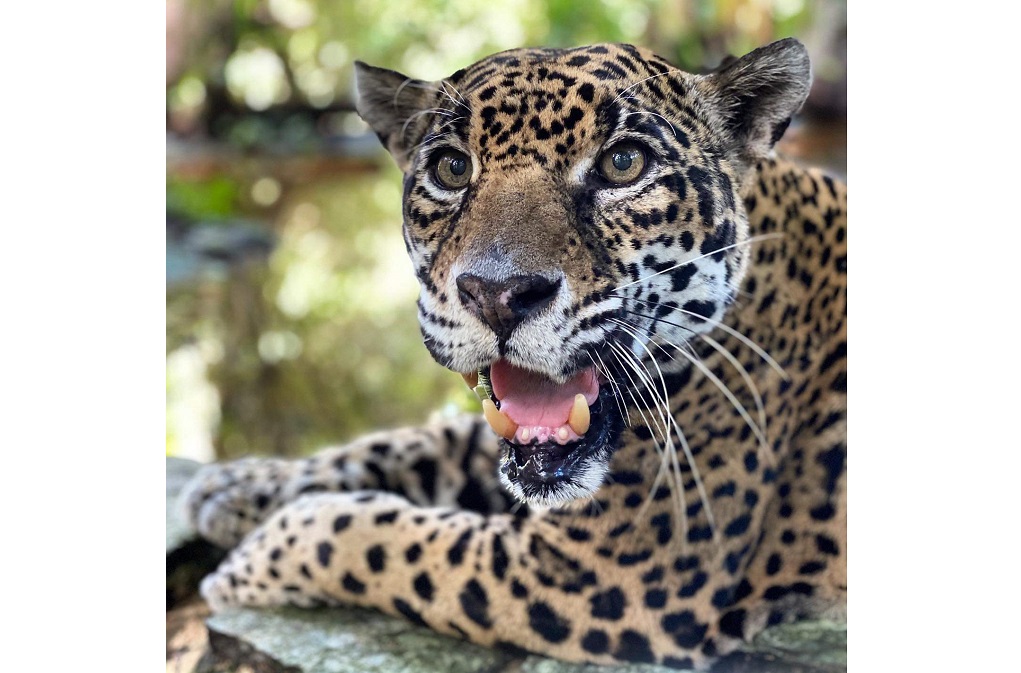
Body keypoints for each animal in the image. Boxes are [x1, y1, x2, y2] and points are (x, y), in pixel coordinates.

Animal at [181, 37, 847, 671]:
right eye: (451, 168)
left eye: (623, 163)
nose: (498, 295)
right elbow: (413, 442)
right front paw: (239, 486)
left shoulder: (609, 571)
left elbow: (375, 537)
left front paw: (251, 559)